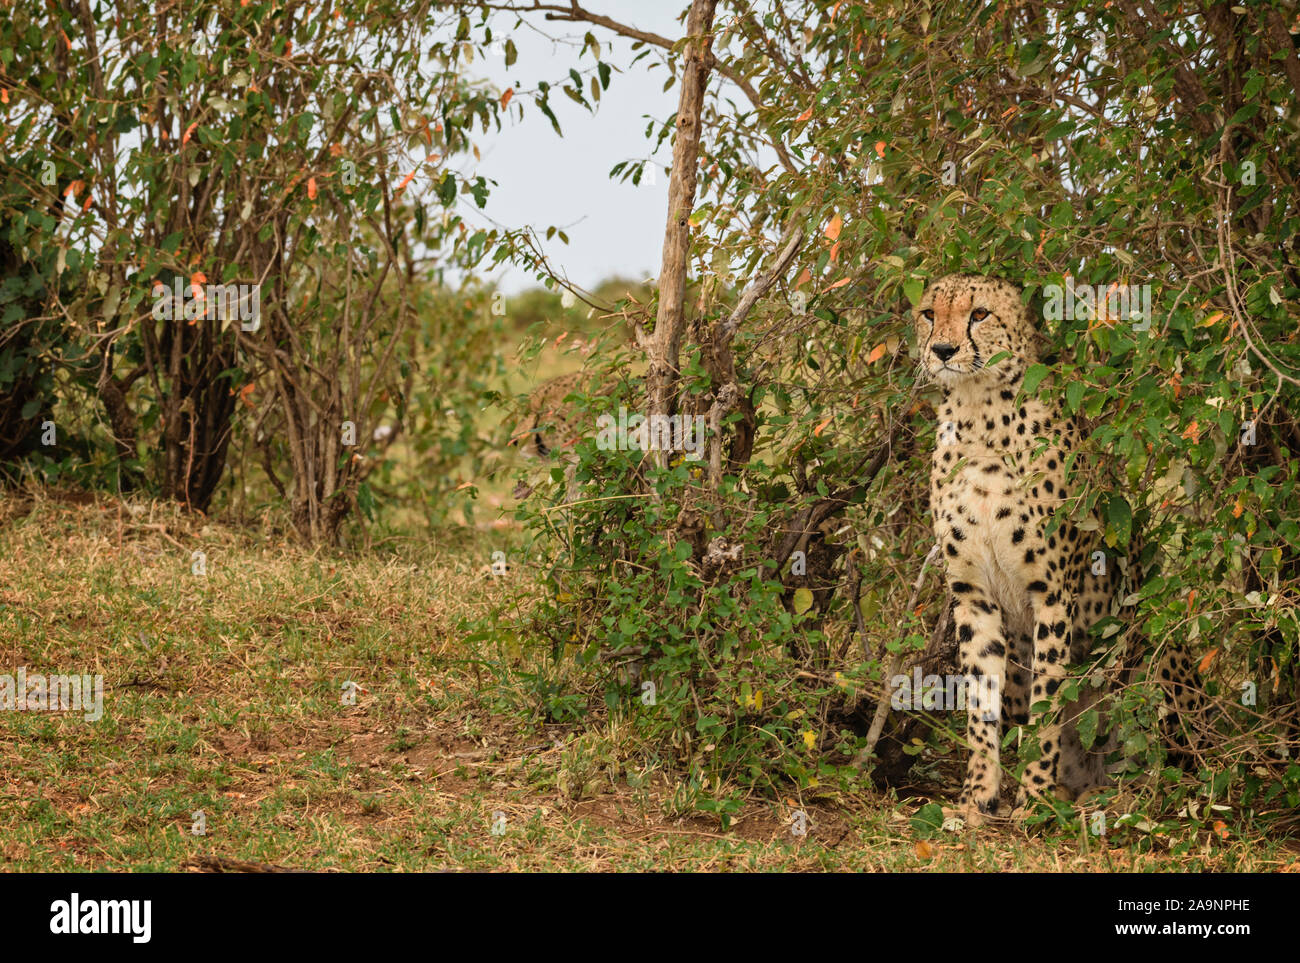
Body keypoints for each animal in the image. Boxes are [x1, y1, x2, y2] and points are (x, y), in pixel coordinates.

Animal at [914, 273, 1205, 827]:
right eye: (928, 314)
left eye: (979, 314)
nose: (941, 350)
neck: (977, 415)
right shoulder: (973, 599)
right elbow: (981, 705)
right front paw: (977, 797)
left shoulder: (1051, 595)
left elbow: (1048, 703)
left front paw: (1031, 798)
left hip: (1153, 650)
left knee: (1170, 769)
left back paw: (1116, 797)